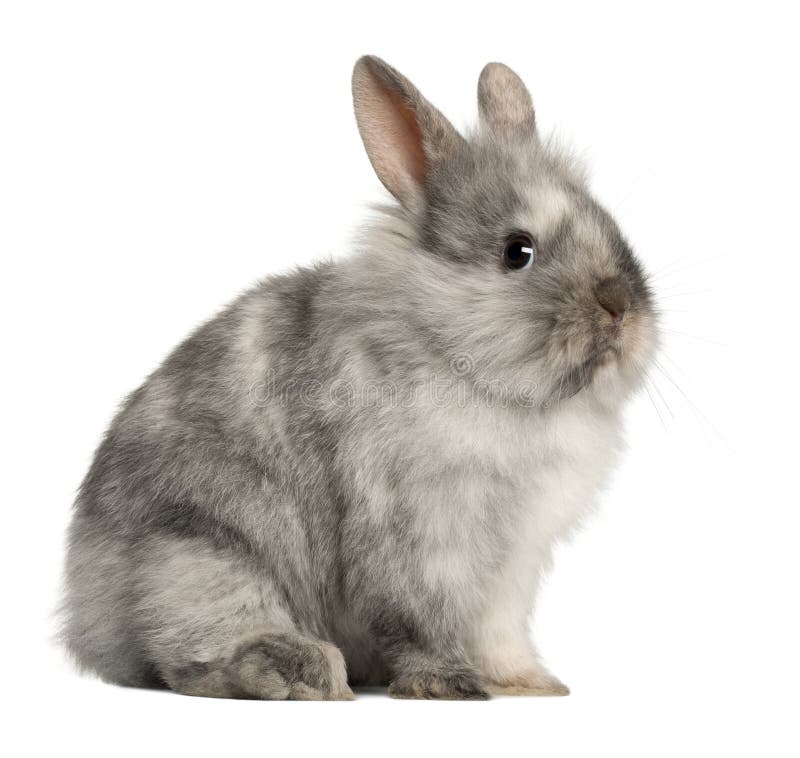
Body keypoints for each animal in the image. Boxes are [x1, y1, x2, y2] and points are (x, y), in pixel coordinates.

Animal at [61, 55, 657, 700]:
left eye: (608, 223)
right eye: (517, 251)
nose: (621, 308)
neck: (459, 360)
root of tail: (85, 607)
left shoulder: (510, 566)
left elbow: (497, 629)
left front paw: (528, 682)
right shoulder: (413, 539)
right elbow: (421, 622)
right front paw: (449, 686)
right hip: (201, 560)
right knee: (193, 658)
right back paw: (307, 671)